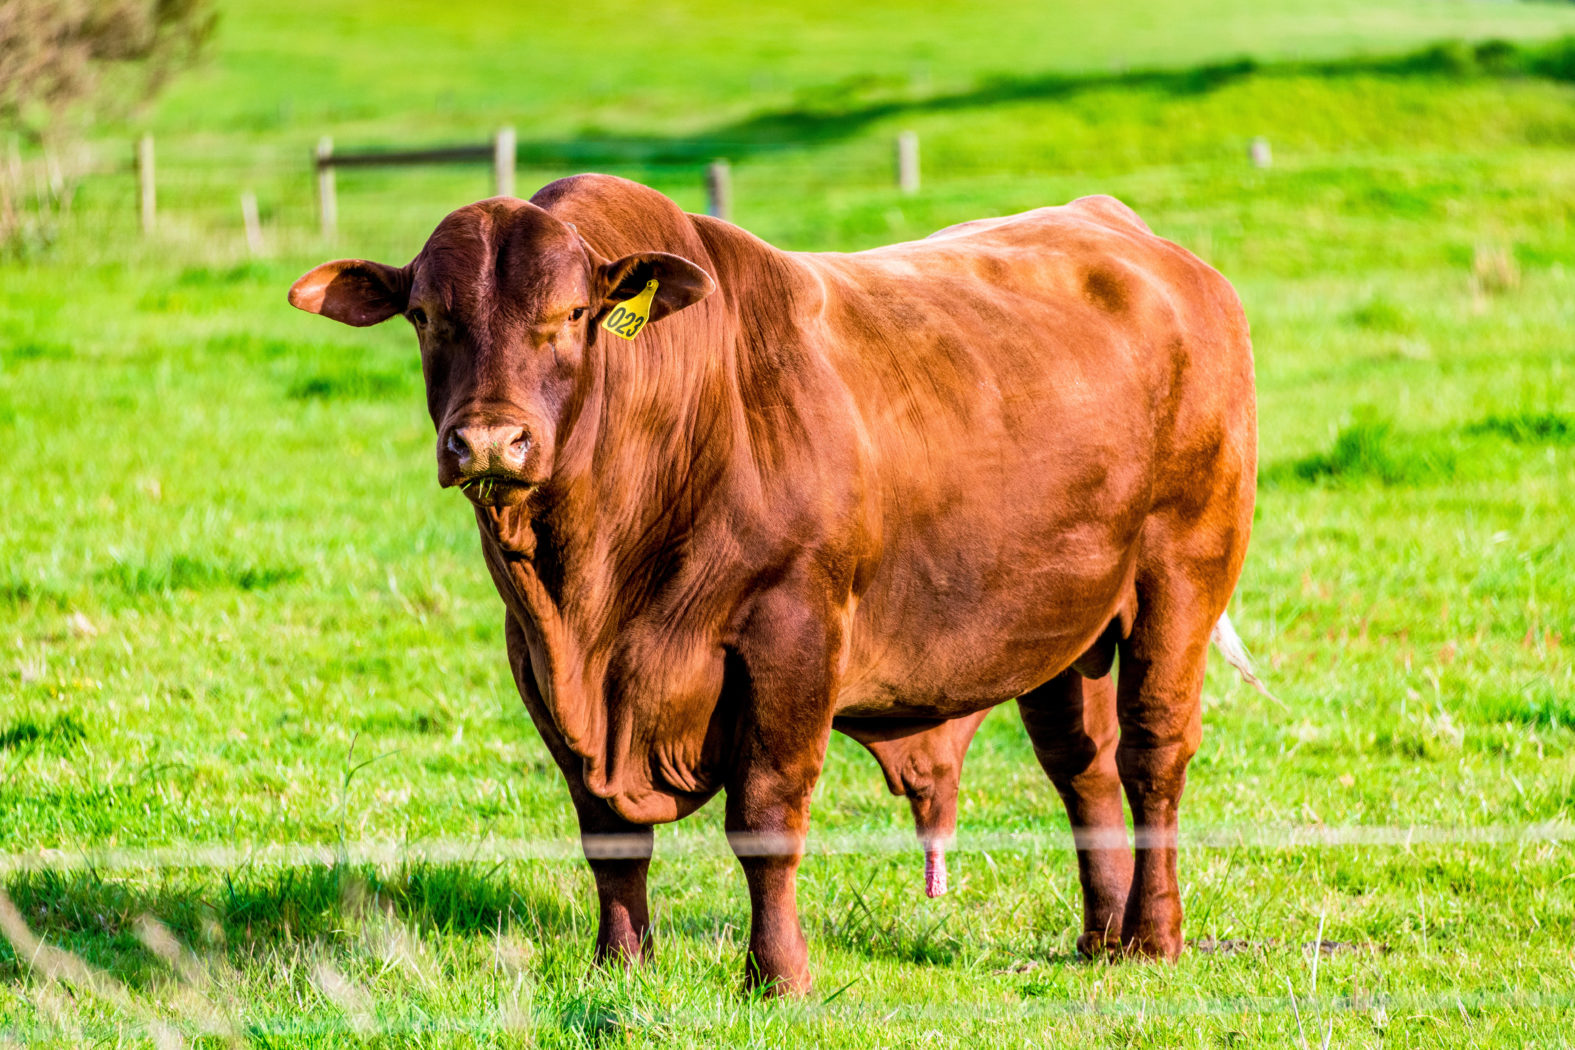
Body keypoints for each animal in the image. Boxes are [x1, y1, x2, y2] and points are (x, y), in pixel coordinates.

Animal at [287, 173, 1257, 995]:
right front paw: (619, 967)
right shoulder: (538, 660)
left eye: (570, 314)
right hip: (1062, 624)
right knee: (1081, 767)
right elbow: (608, 836)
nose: (489, 440)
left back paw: (1154, 936)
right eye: (424, 316)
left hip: (1183, 572)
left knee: (1151, 753)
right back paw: (1101, 938)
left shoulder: (789, 637)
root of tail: (1126, 231)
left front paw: (777, 975)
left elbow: (764, 818)